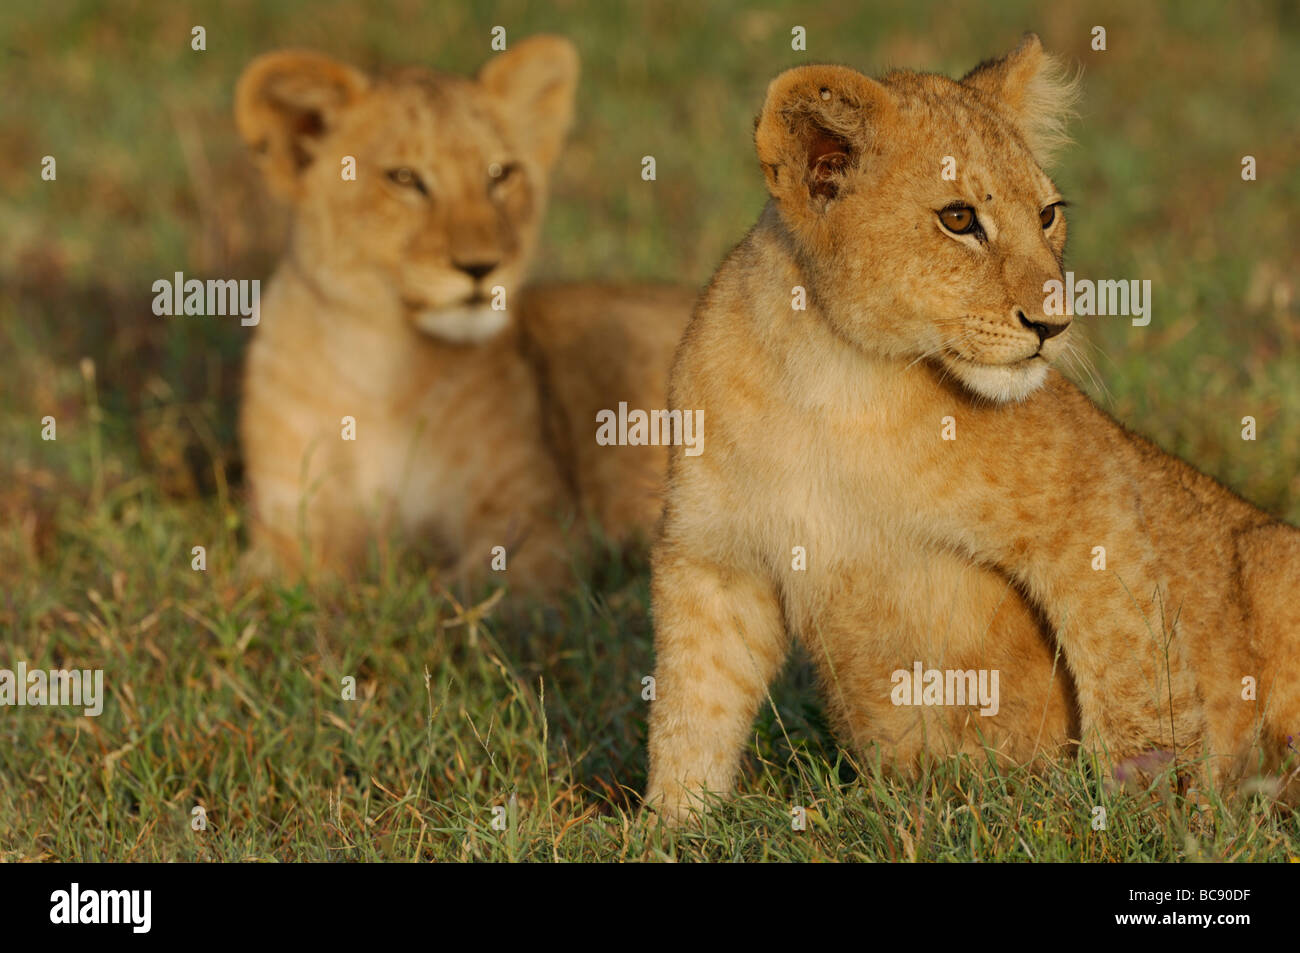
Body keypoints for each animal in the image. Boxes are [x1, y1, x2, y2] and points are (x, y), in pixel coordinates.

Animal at [233, 37, 693, 593]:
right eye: (404, 179)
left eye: (501, 174)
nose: (481, 266)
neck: (380, 367)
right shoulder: (287, 524)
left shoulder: (539, 527)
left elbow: (453, 593)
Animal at [644, 34, 1299, 823]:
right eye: (959, 220)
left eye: (1047, 215)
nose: (1054, 324)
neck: (836, 382)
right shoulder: (715, 555)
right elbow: (692, 704)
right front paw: (670, 826)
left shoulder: (1094, 499)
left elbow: (1129, 661)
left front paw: (1143, 811)